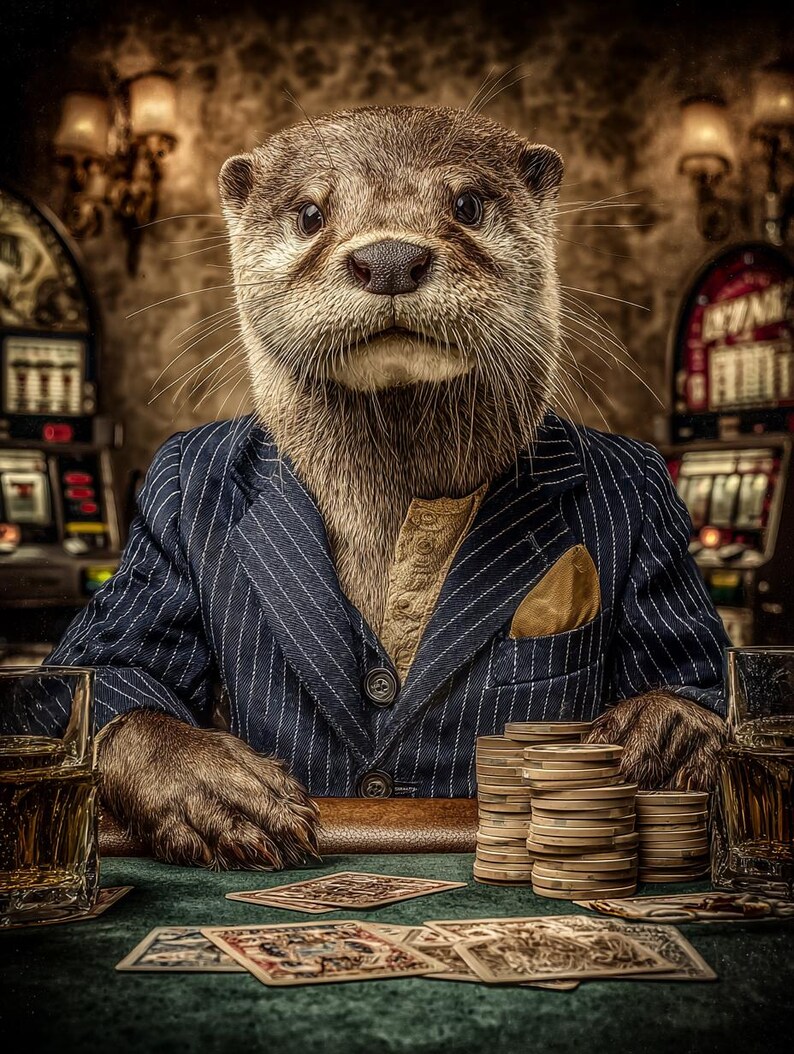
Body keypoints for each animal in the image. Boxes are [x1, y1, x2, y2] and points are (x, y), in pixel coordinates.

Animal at [48, 105, 726, 870]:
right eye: (311, 212)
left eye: (467, 204)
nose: (393, 258)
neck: (390, 506)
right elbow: (110, 667)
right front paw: (212, 787)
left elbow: (700, 674)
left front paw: (663, 731)